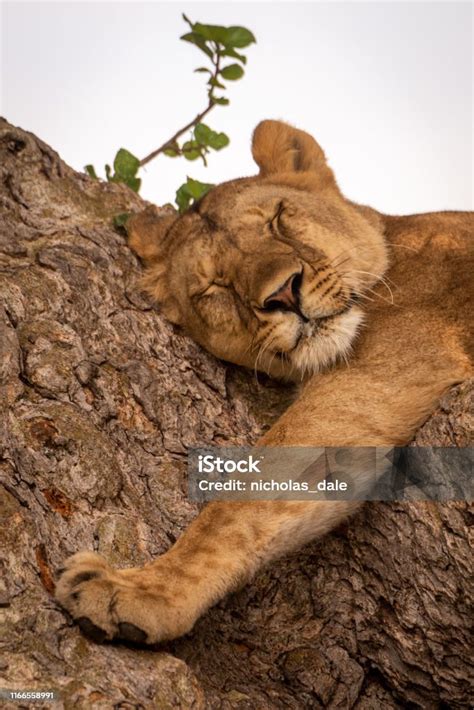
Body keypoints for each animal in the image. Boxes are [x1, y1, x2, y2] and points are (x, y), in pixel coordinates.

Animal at [56, 120, 473, 645]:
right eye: (215, 286)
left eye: (277, 219)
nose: (282, 294)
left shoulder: (376, 374)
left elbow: (239, 504)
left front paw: (138, 592)